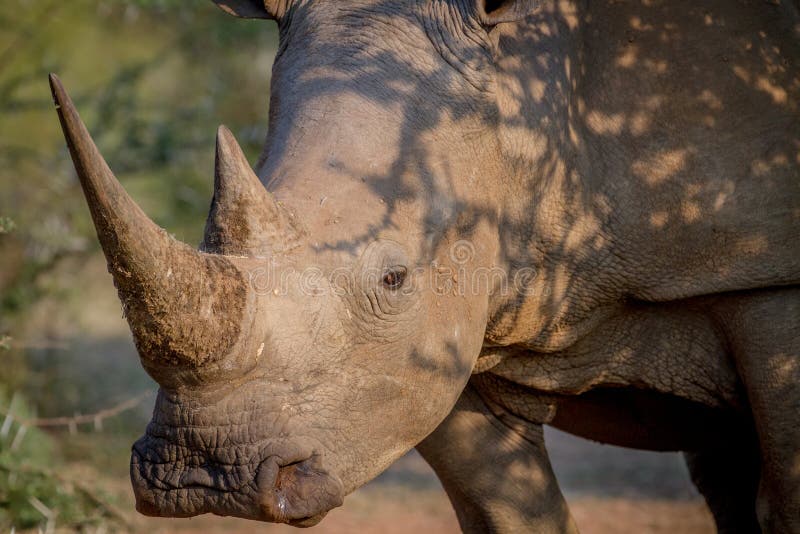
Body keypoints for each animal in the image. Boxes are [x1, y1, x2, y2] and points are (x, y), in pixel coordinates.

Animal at [50, 0, 799, 532]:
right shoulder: (441, 335)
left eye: (393, 278)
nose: (203, 476)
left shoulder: (772, 275)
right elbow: (506, 510)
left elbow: (788, 496)